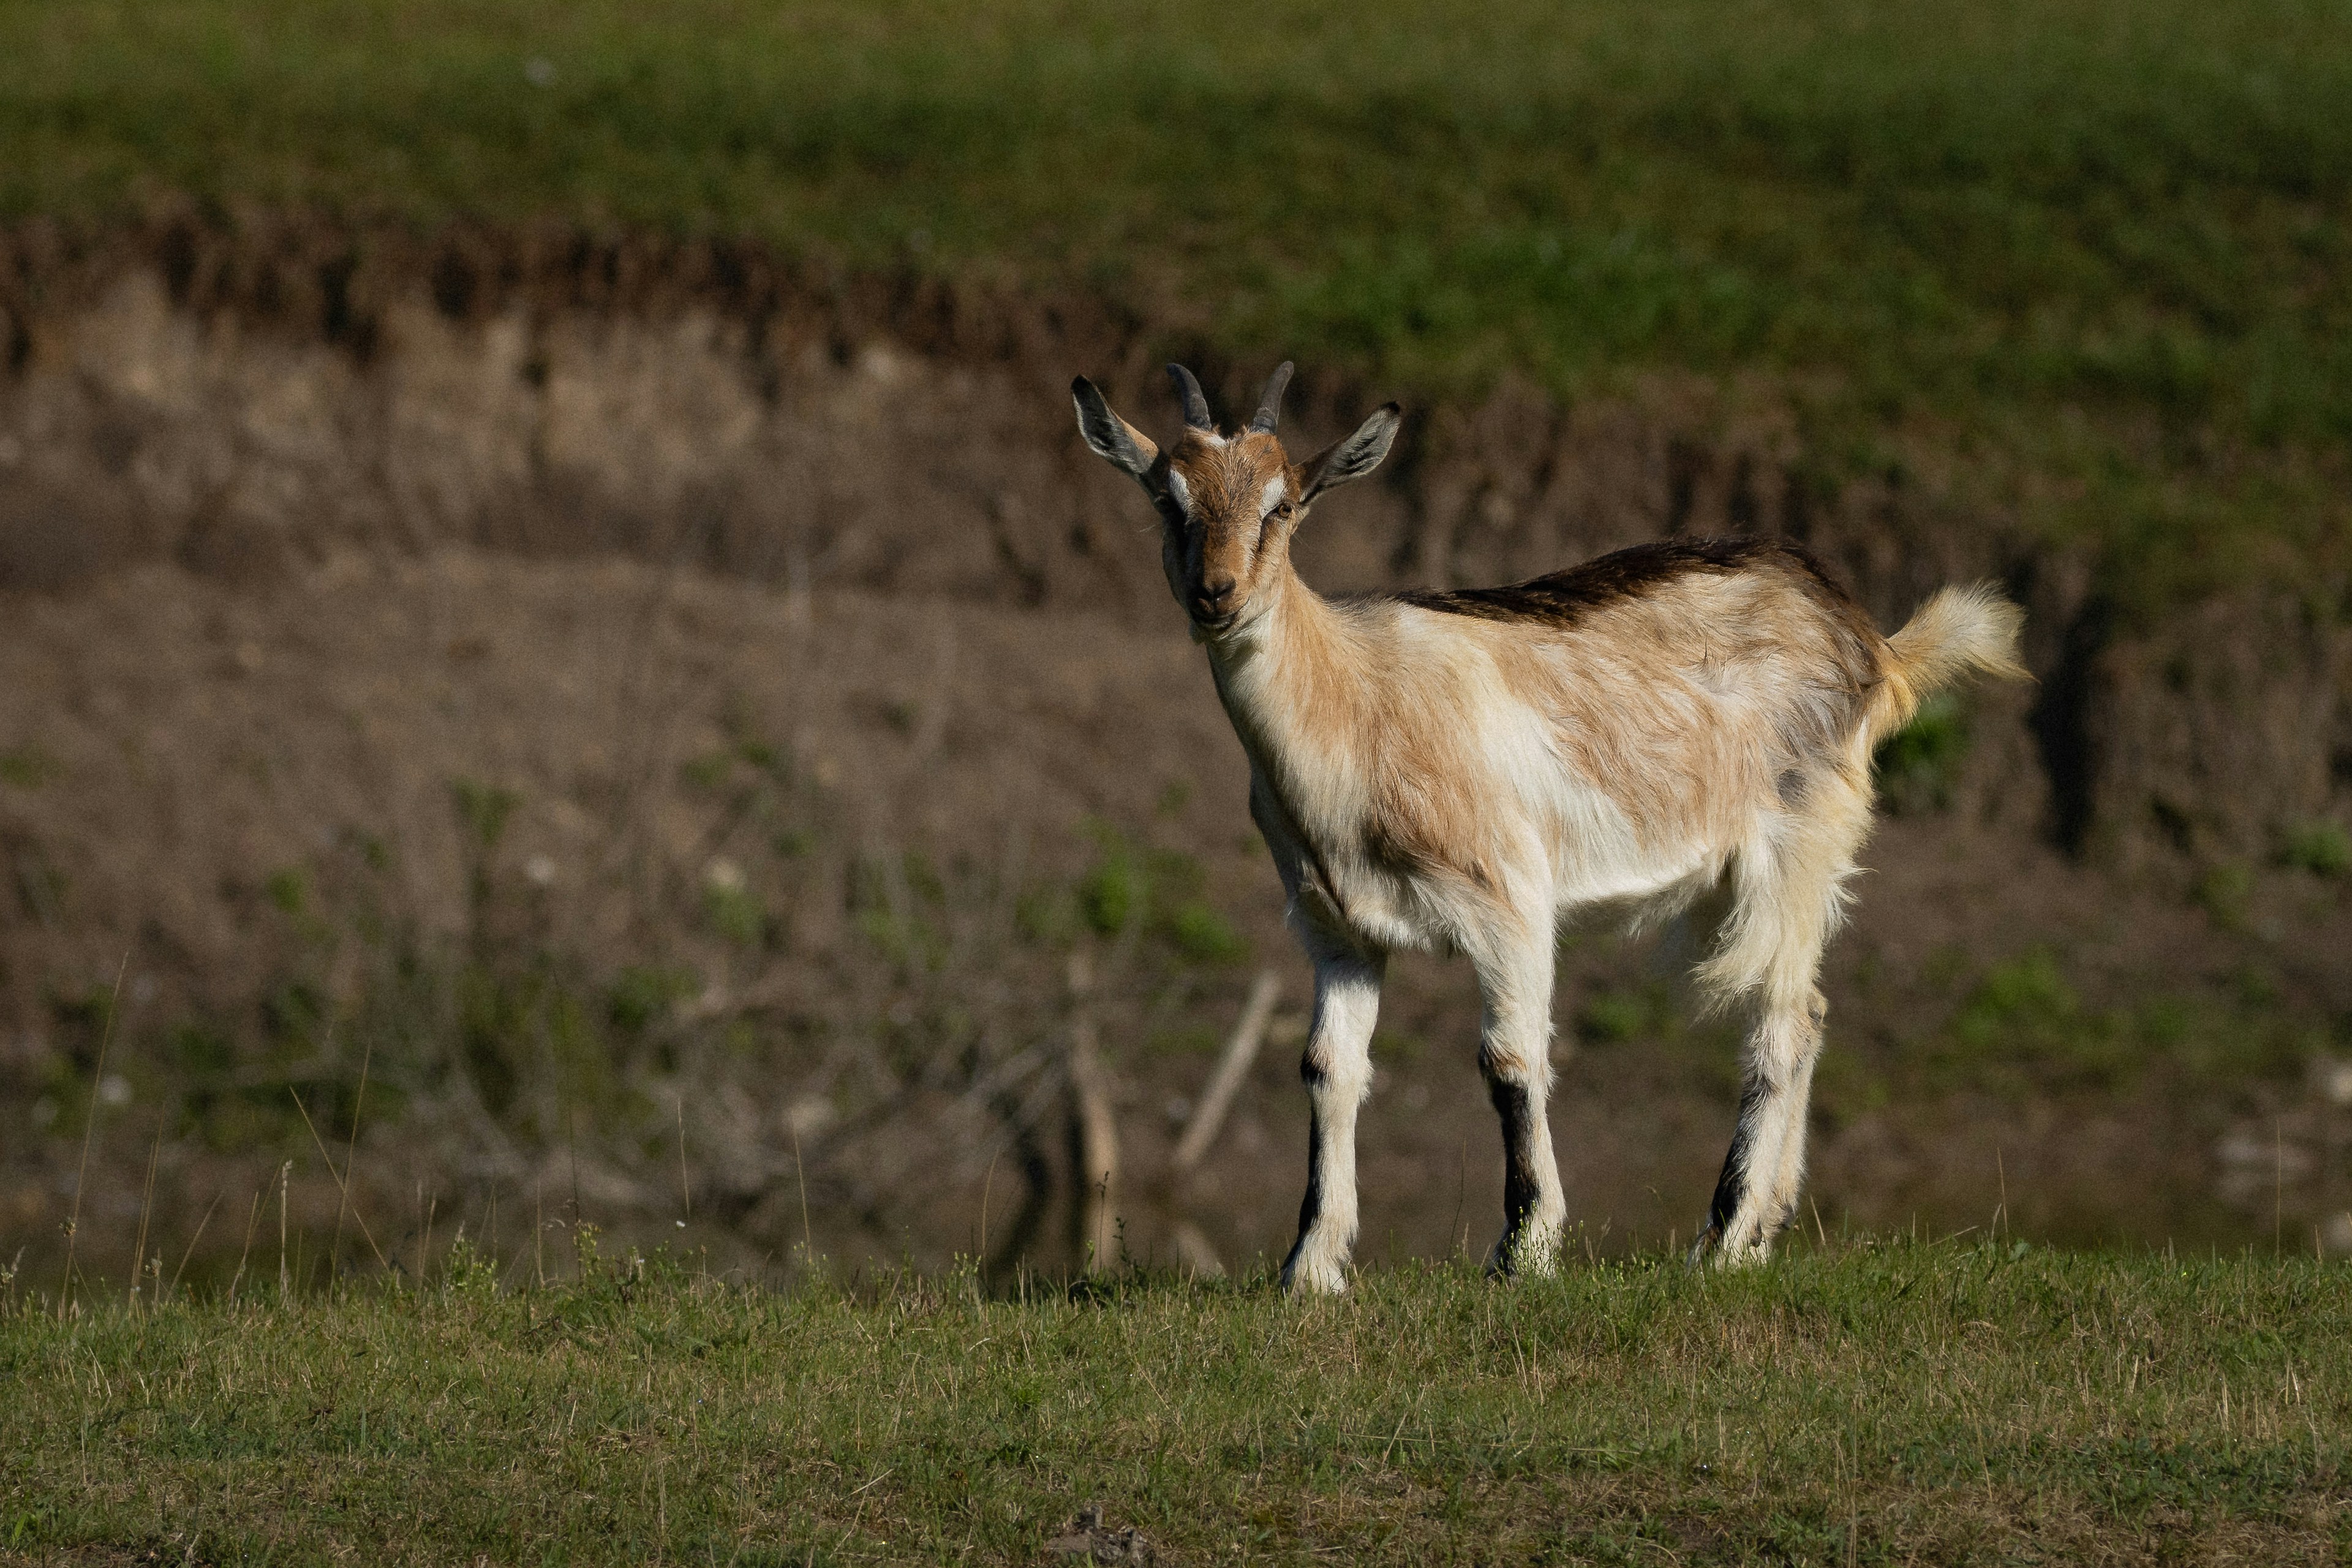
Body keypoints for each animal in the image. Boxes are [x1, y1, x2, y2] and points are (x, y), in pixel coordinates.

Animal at [1071, 362, 2026, 1293]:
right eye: (1168, 500)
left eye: (1284, 505)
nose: (1216, 594)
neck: (1355, 705)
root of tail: (1873, 645)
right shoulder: (1335, 929)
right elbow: (1327, 1069)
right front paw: (1309, 1267)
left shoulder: (1509, 901)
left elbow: (1510, 1061)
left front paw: (1524, 1250)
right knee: (1809, 1007)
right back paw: (1761, 1235)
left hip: (1798, 839)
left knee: (1780, 1025)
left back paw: (1723, 1238)